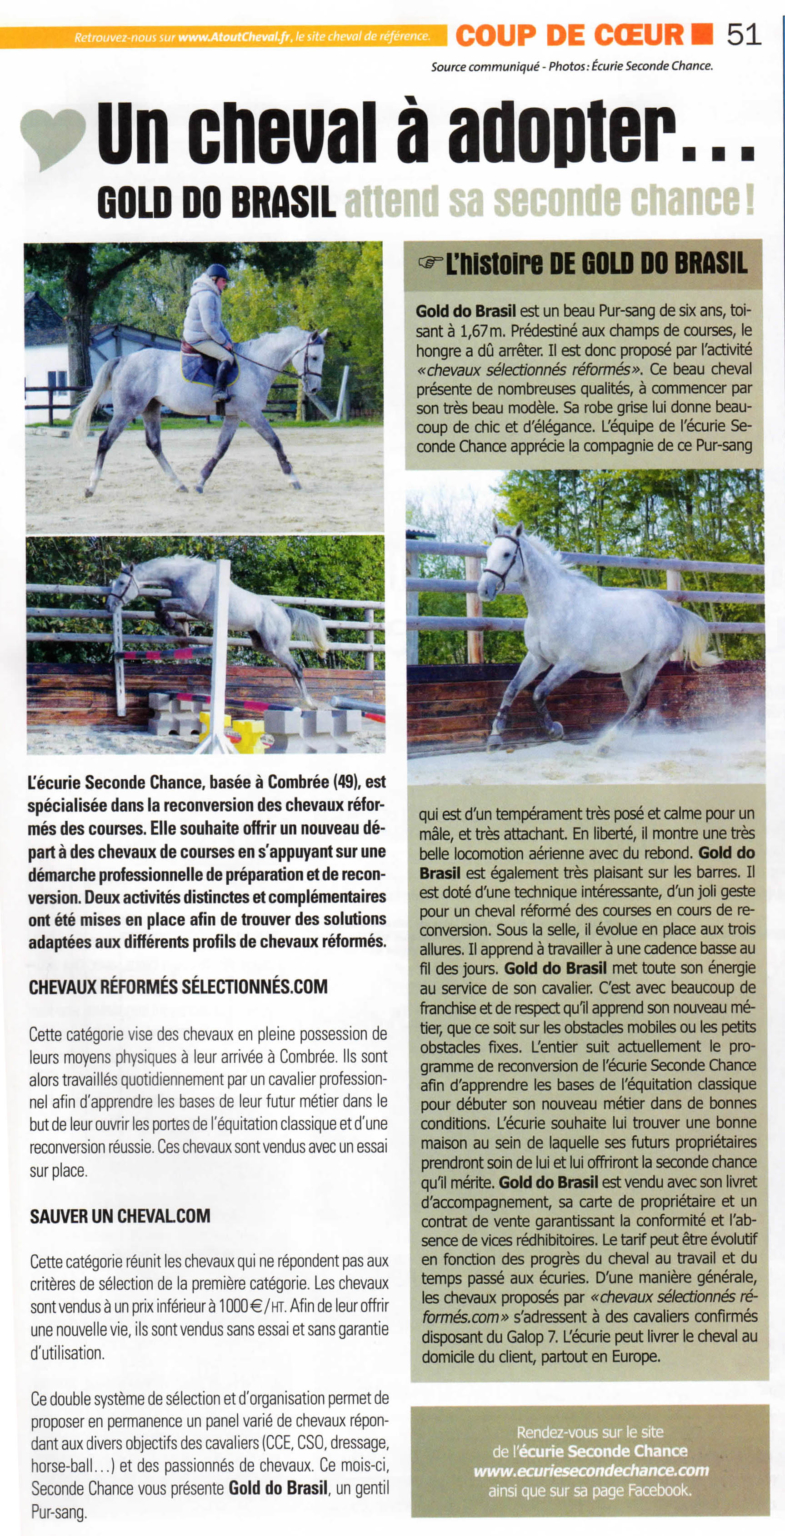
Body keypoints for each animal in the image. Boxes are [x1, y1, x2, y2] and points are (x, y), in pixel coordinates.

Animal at [72, 325, 328, 498]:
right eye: (314, 357)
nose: (314, 389)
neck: (256, 366)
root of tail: (124, 359)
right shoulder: (251, 413)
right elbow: (275, 441)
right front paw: (292, 478)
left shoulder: (235, 416)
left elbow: (221, 448)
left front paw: (201, 481)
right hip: (127, 410)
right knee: (105, 441)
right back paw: (90, 487)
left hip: (150, 408)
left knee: (154, 444)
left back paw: (179, 484)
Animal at [106, 555, 329, 708]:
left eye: (122, 583)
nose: (109, 606)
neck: (186, 574)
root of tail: (283, 612)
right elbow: (159, 609)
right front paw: (175, 627)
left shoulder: (190, 606)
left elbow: (160, 605)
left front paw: (174, 626)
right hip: (263, 646)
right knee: (291, 669)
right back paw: (304, 701)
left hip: (276, 647)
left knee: (297, 668)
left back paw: (309, 703)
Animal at [477, 519, 721, 750]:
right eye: (488, 553)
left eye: (506, 554)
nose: (484, 590)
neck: (551, 607)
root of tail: (671, 610)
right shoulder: (538, 658)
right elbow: (512, 689)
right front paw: (495, 738)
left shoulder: (569, 663)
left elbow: (538, 693)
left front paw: (555, 731)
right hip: (630, 668)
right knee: (635, 703)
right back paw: (618, 741)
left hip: (653, 662)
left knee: (638, 703)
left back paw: (605, 743)